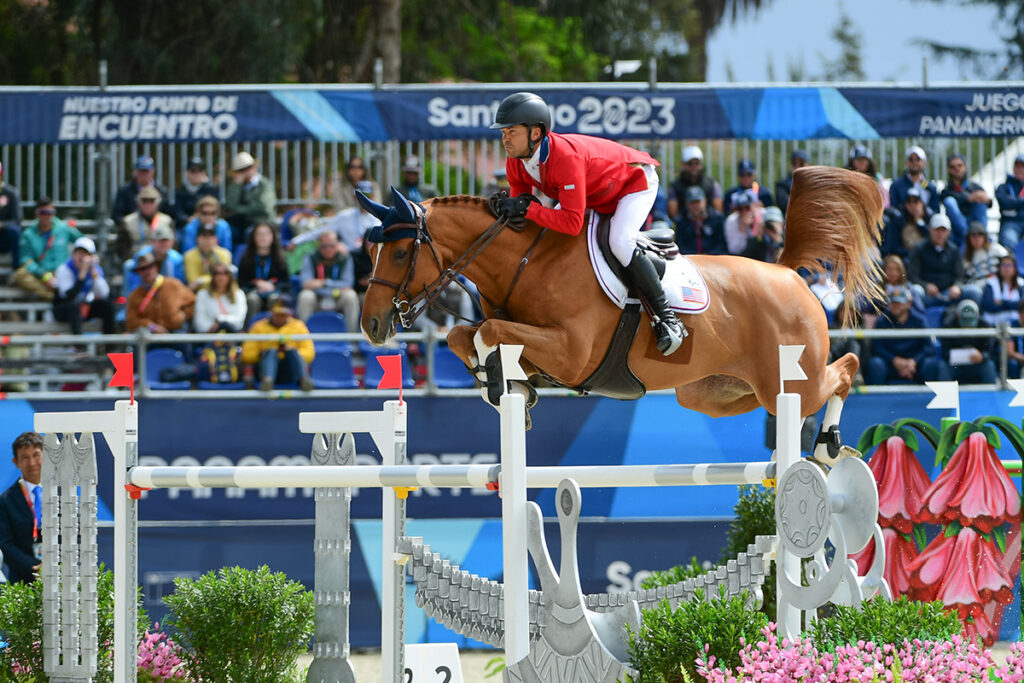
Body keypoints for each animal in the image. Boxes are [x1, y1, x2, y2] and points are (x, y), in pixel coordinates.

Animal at [357, 166, 884, 460]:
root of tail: (787, 273)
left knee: (844, 370)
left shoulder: (572, 352)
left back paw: (827, 446)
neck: (528, 263)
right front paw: (507, 387)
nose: (372, 325)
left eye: (400, 253)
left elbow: (489, 330)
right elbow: (463, 338)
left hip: (792, 375)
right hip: (716, 393)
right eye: (371, 252)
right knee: (780, 402)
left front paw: (503, 382)